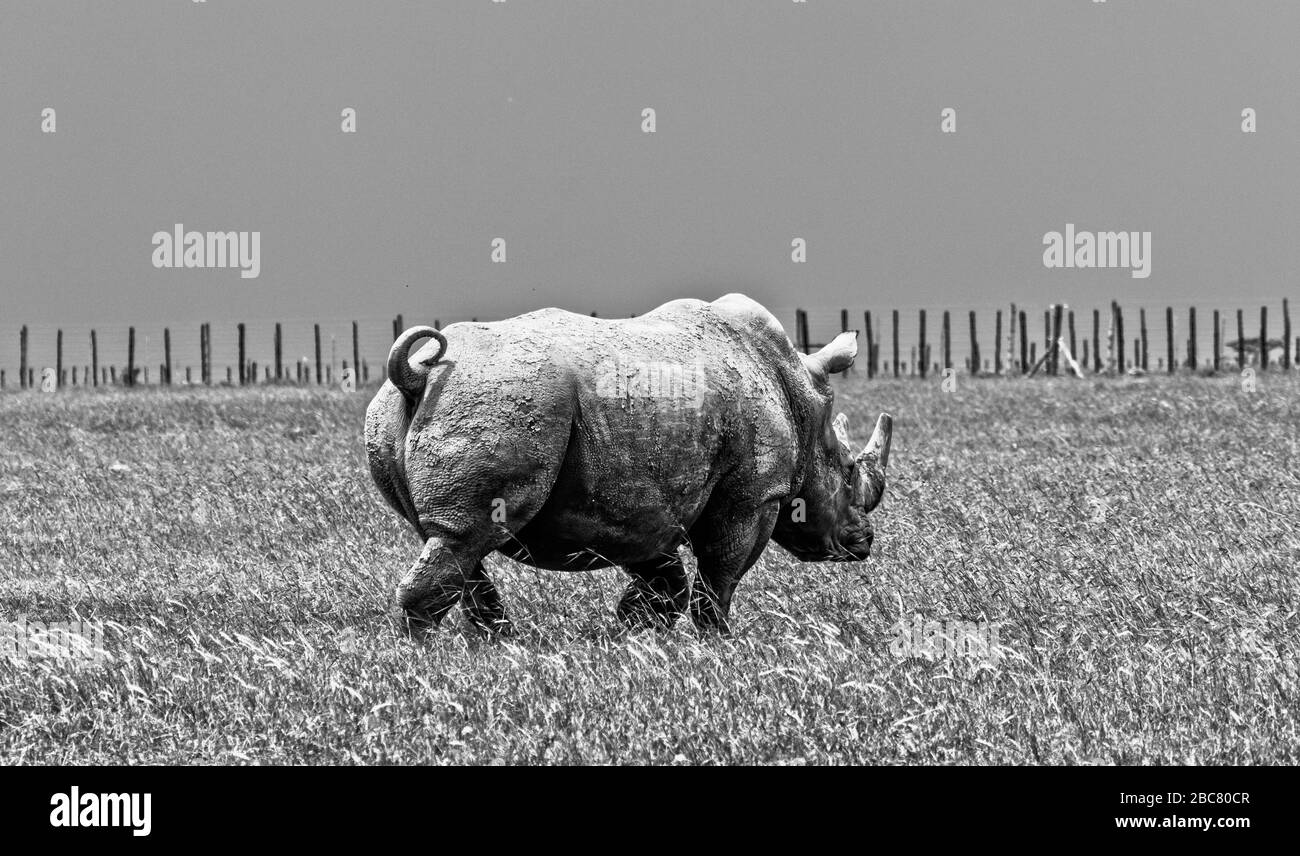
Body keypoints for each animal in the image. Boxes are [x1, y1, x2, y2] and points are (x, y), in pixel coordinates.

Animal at [365, 293, 892, 636]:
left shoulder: (638, 500)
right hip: (501, 395)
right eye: (848, 471)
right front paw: (717, 644)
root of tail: (420, 374)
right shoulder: (755, 495)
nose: (863, 543)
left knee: (457, 544)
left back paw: (498, 648)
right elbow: (720, 574)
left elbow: (664, 577)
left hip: (419, 406)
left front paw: (631, 634)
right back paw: (429, 658)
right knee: (468, 536)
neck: (800, 397)